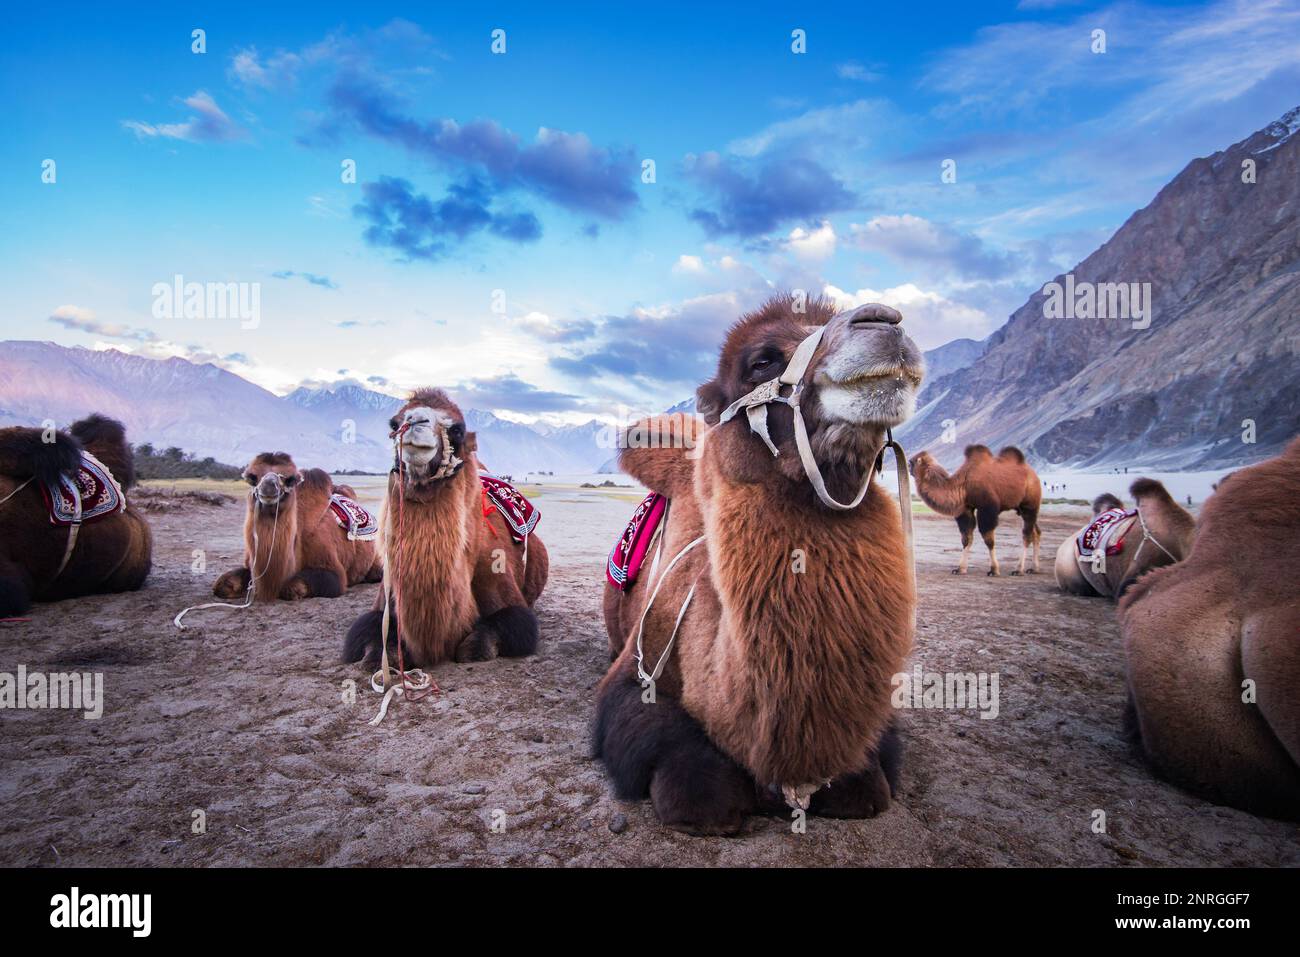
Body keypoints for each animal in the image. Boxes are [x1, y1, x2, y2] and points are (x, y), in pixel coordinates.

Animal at [212, 452, 383, 602]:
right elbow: (223, 584)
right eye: (253, 477)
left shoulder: (332, 570)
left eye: (289, 479)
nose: (268, 486)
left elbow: (292, 587)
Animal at [909, 445, 1041, 576]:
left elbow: (988, 539)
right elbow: (966, 538)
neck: (964, 484)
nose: (909, 468)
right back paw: (1034, 568)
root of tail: (1033, 474)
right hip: (1020, 508)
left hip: (1030, 504)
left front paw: (994, 570)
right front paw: (960, 569)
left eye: (911, 462)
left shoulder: (987, 508)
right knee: (1036, 532)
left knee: (1027, 534)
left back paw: (1019, 569)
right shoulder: (966, 508)